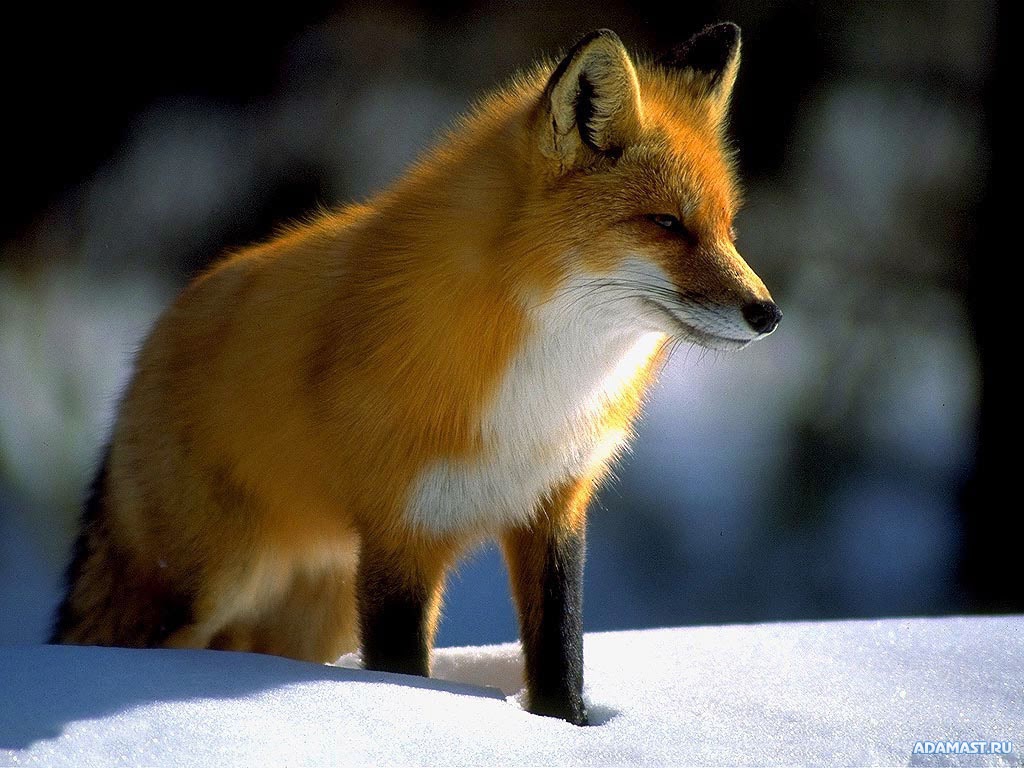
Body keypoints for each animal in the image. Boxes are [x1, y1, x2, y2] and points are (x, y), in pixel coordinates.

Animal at [51, 23, 780, 725]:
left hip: (317, 611)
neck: (544, 386)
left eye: (727, 229)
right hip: (204, 586)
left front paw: (569, 732)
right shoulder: (403, 534)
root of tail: (147, 346)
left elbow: (560, 665)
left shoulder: (553, 509)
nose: (768, 314)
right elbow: (403, 676)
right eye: (666, 224)